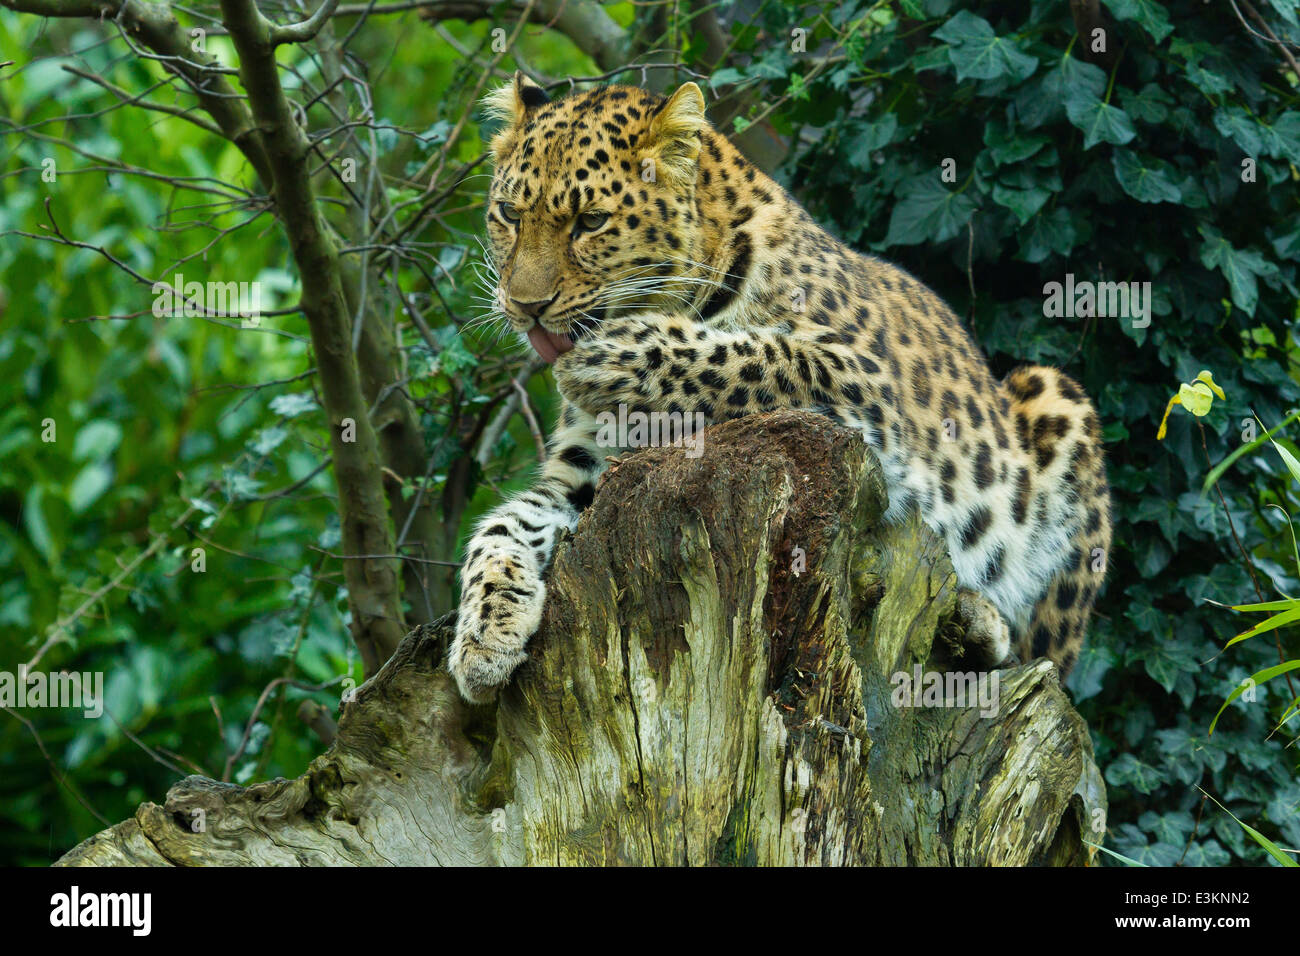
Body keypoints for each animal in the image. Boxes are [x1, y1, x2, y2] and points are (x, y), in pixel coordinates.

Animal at [447, 72, 1112, 703]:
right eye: (509, 214)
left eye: (590, 222)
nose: (524, 306)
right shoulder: (580, 479)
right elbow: (504, 526)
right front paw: (483, 637)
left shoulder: (865, 382)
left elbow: (753, 354)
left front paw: (618, 356)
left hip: (1056, 399)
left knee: (1041, 651)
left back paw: (982, 618)